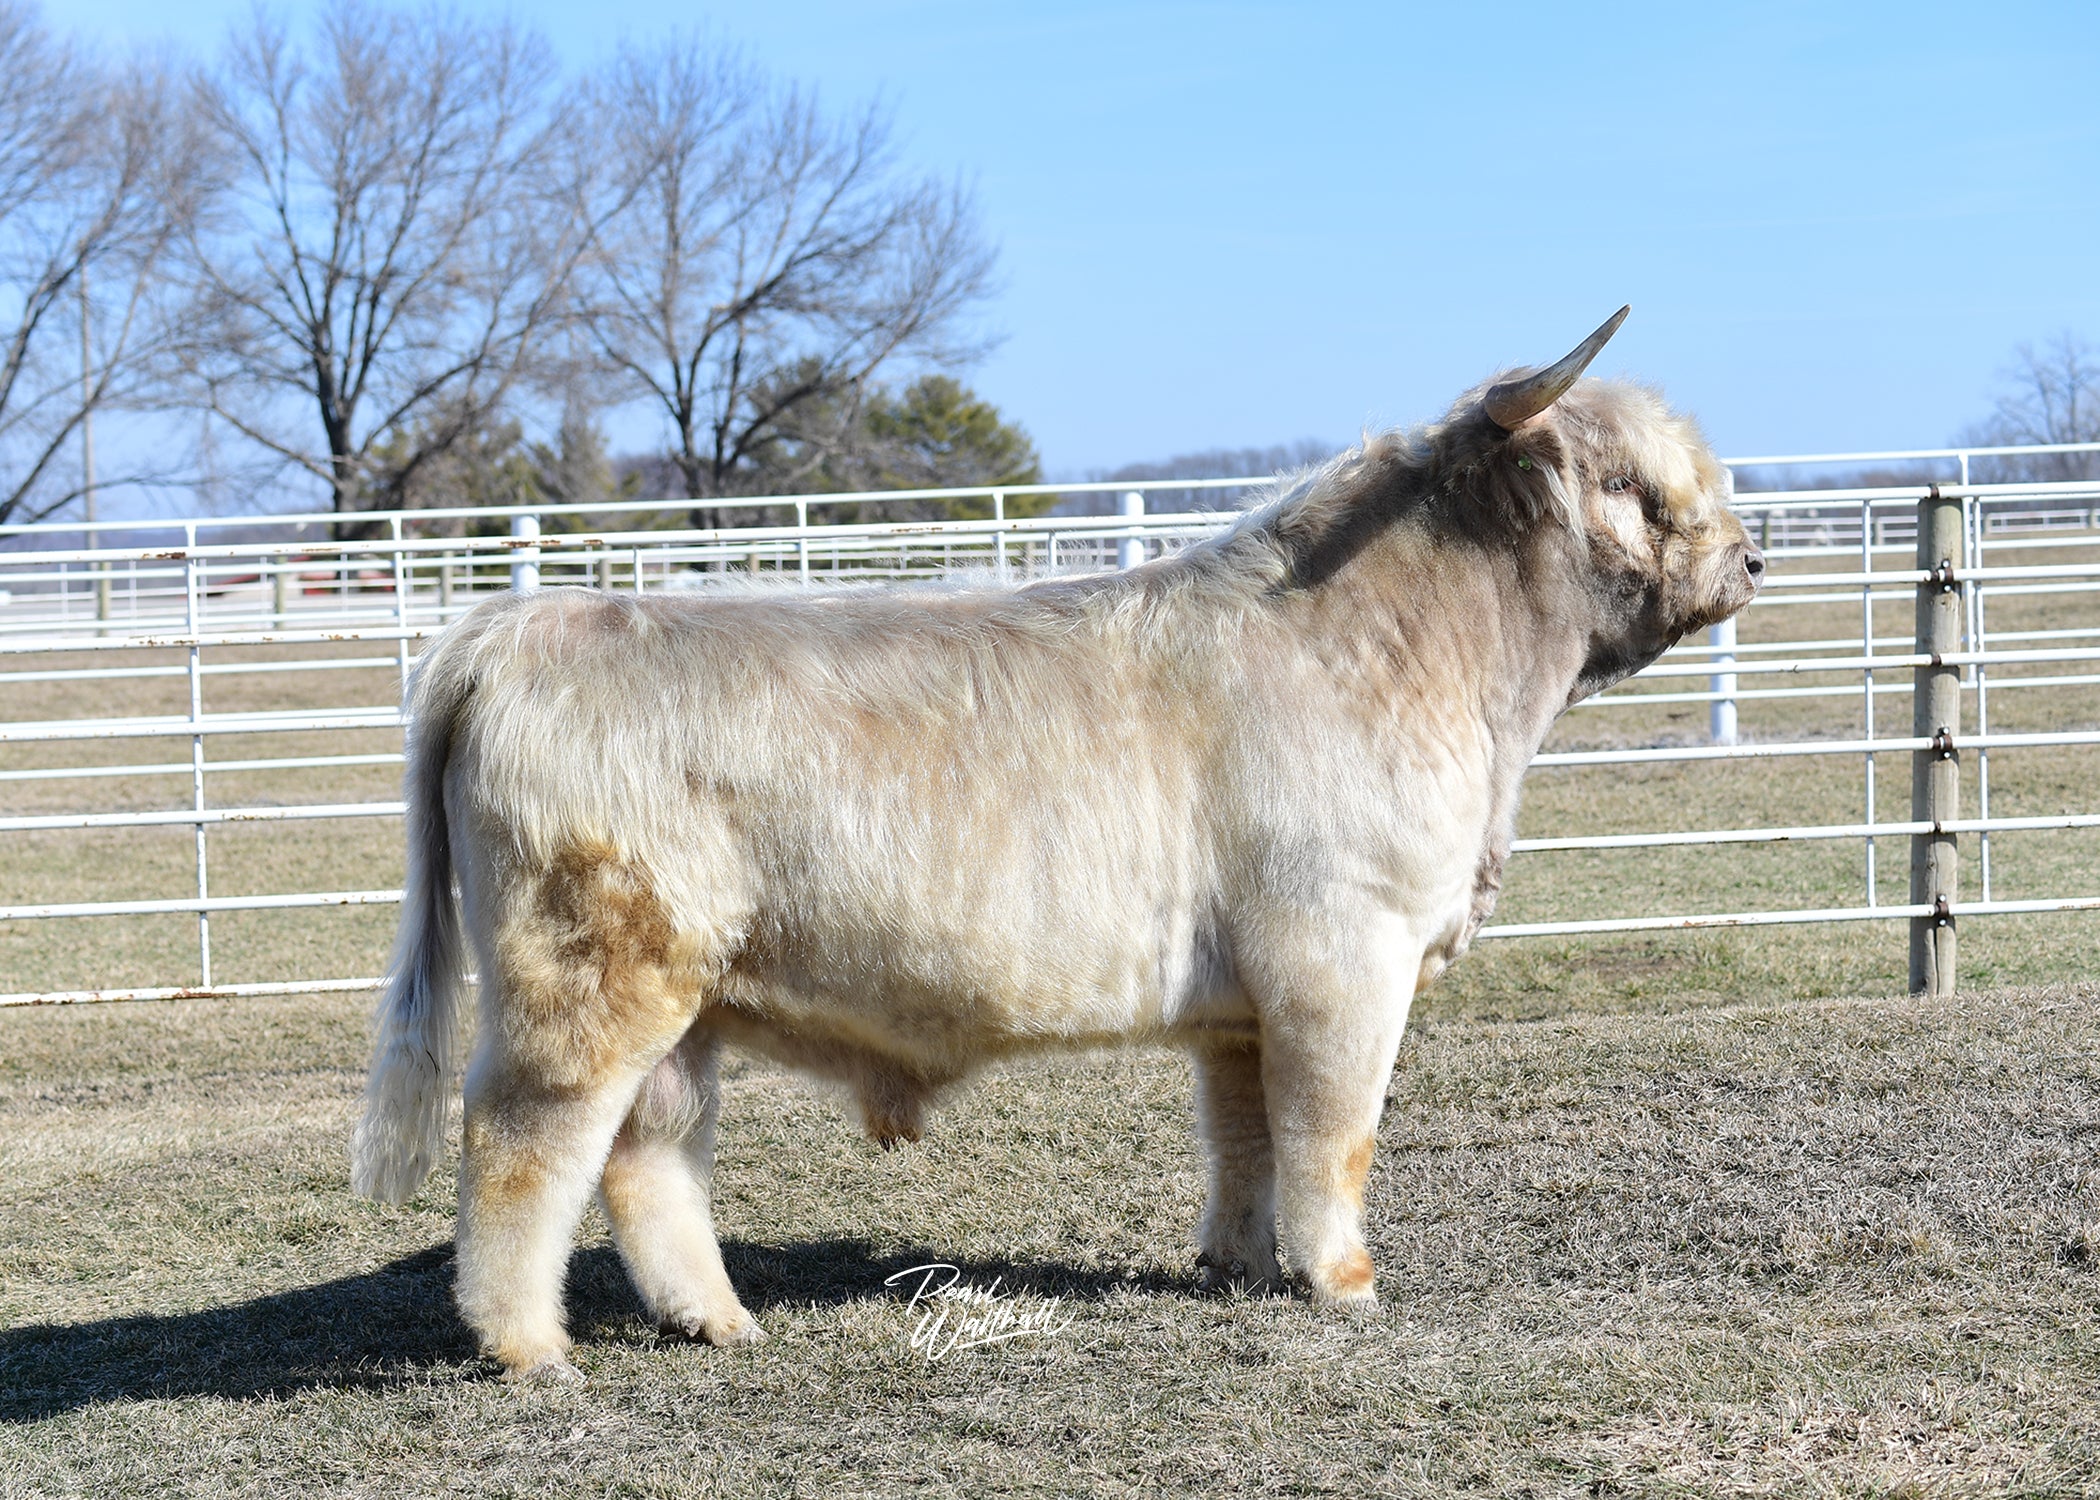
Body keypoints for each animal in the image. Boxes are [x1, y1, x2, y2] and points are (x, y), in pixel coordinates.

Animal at [351, 307, 1763, 1381]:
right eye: (1635, 488)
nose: (1749, 560)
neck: (1423, 661)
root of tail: (528, 625)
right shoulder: (1343, 956)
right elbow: (1333, 1130)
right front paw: (1345, 1277)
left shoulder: (1244, 1005)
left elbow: (1245, 1138)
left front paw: (1237, 1263)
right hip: (586, 981)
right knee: (525, 1146)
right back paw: (530, 1347)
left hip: (685, 1003)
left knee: (650, 1157)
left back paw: (718, 1321)